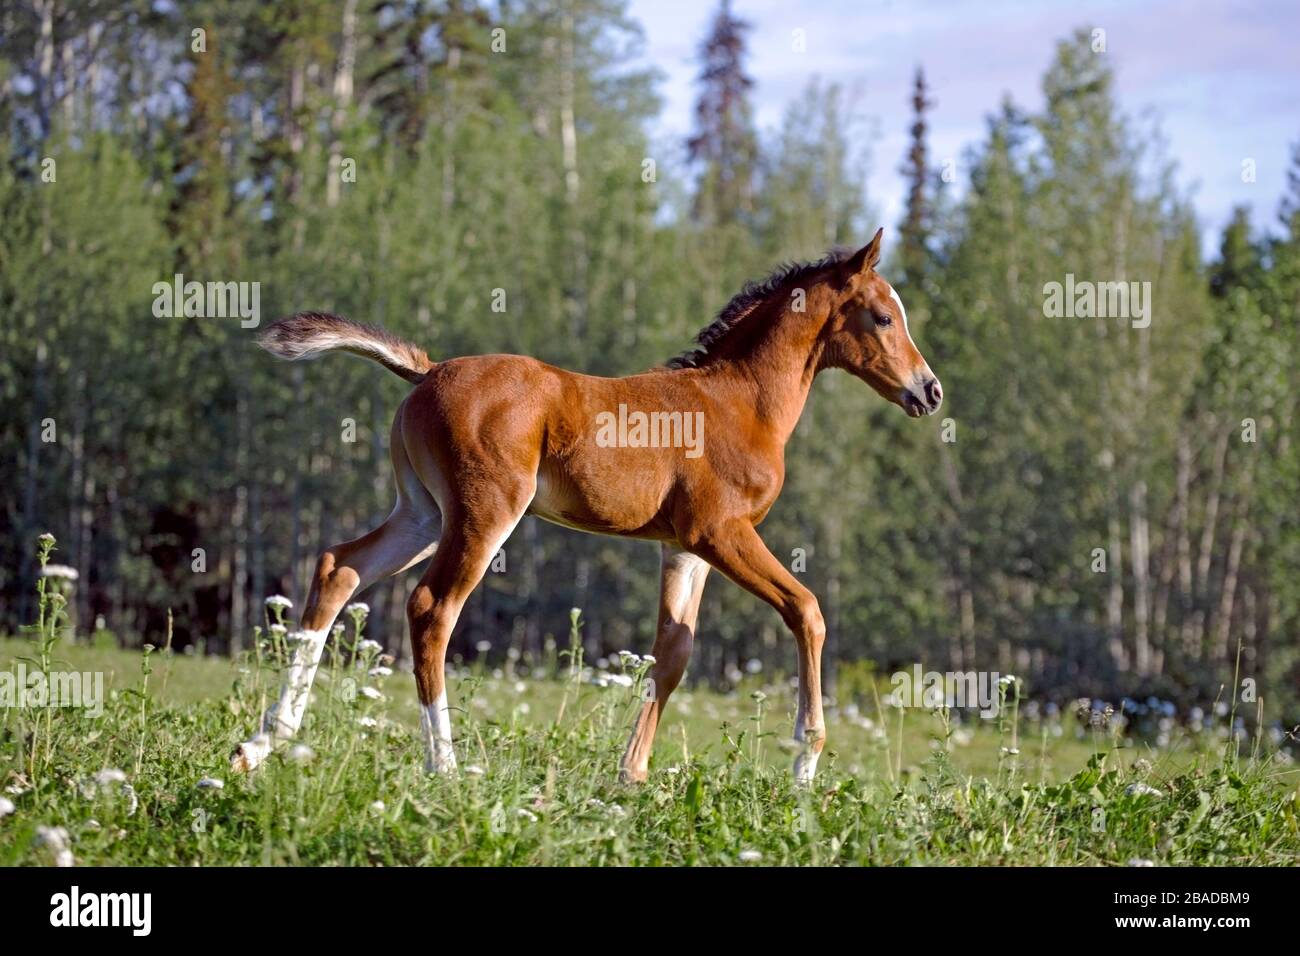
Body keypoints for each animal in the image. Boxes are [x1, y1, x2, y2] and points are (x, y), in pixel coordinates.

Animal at [231, 227, 942, 784]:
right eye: (884, 317)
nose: (929, 391)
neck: (740, 399)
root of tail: (428, 371)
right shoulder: (721, 532)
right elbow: (807, 611)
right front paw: (804, 762)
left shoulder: (683, 547)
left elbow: (674, 652)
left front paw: (631, 776)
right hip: (485, 513)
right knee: (431, 608)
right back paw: (445, 768)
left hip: (423, 514)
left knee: (339, 567)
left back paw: (263, 742)